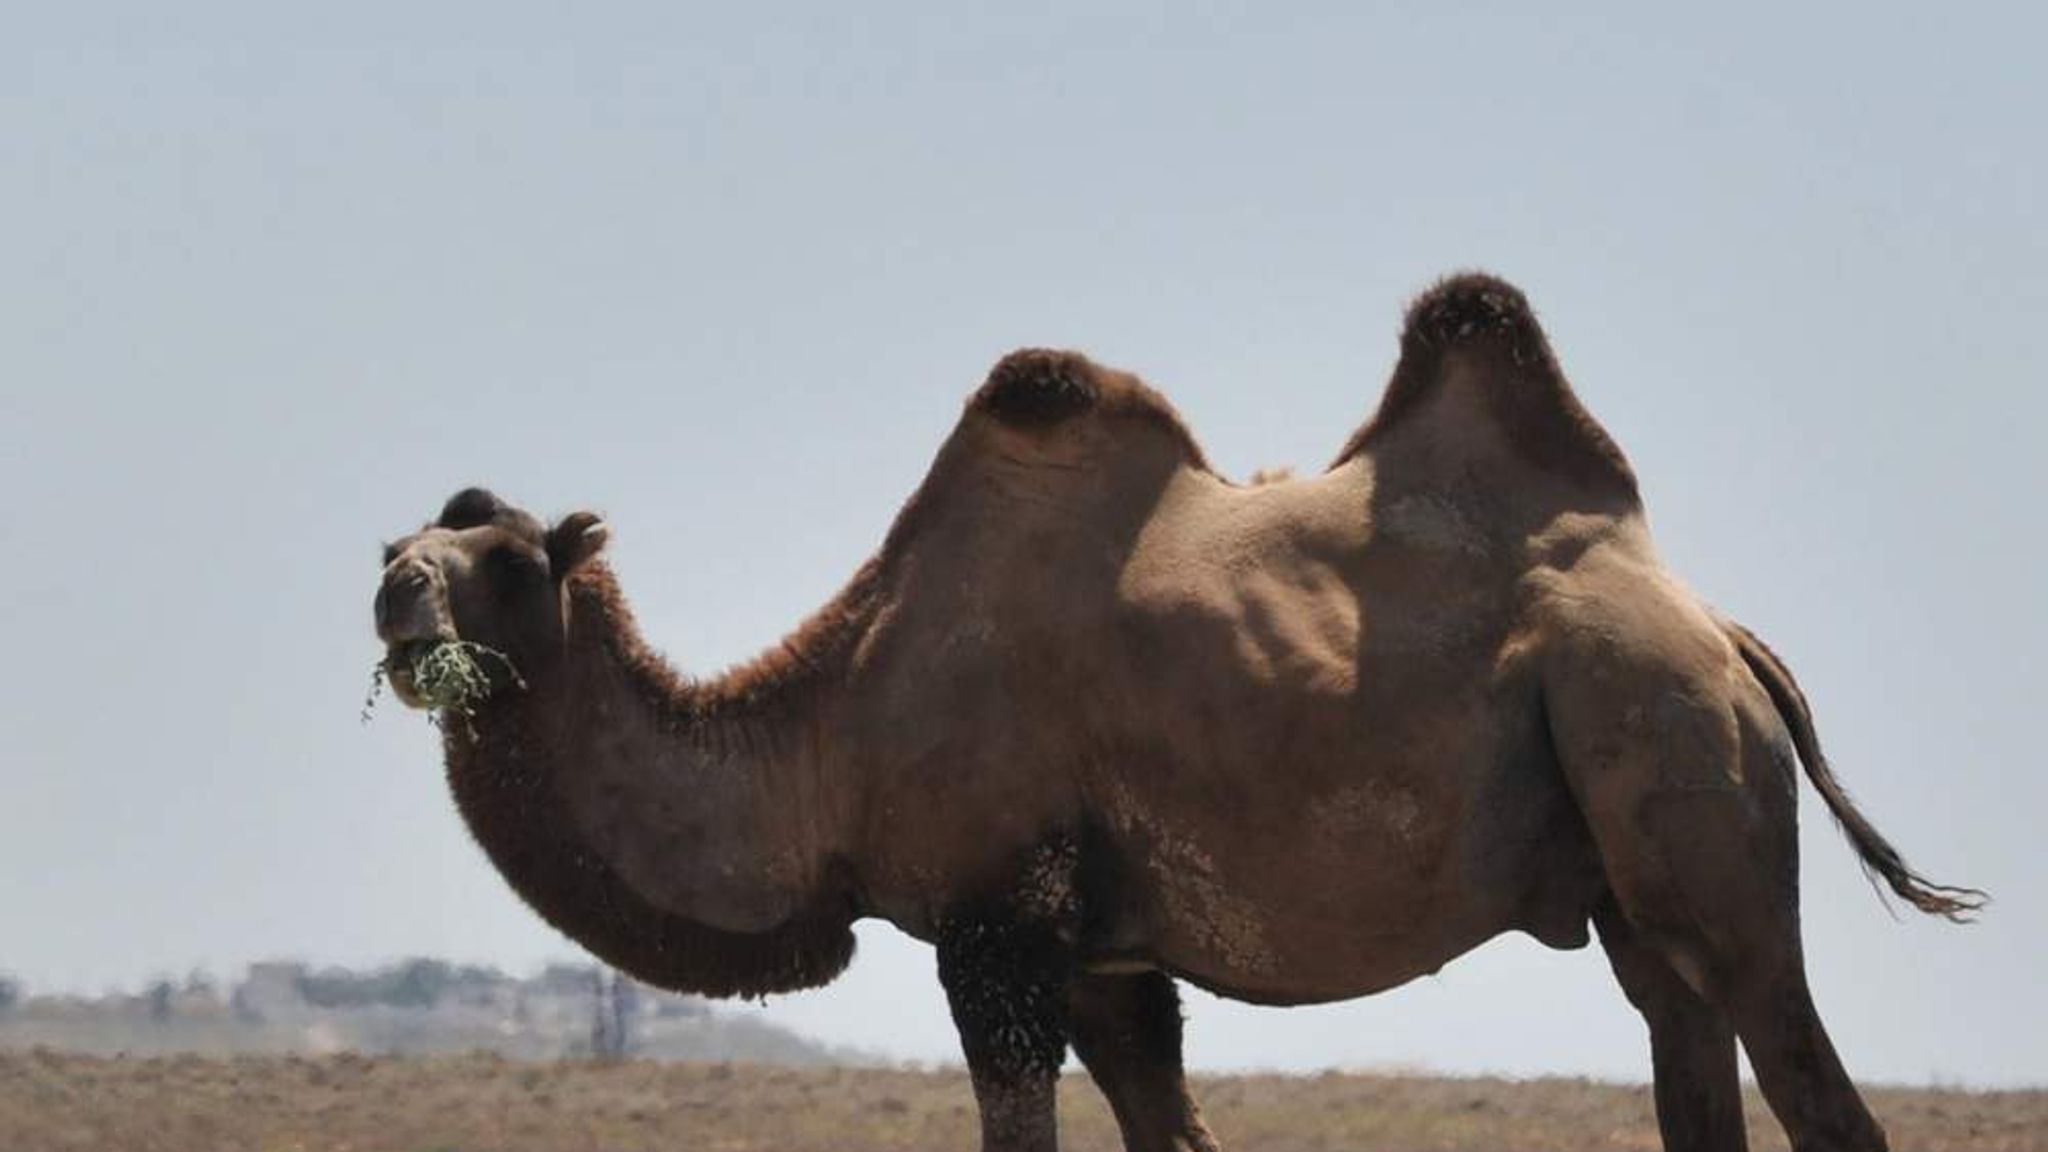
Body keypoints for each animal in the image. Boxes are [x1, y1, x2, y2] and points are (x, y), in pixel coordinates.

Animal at [371, 273, 1981, 1152]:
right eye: (405, 537)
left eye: (505, 559)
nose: (395, 593)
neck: (834, 733)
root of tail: (1723, 636)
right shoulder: (1104, 956)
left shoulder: (998, 927)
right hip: (1630, 857)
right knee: (1686, 1048)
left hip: (1673, 753)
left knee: (1811, 1078)